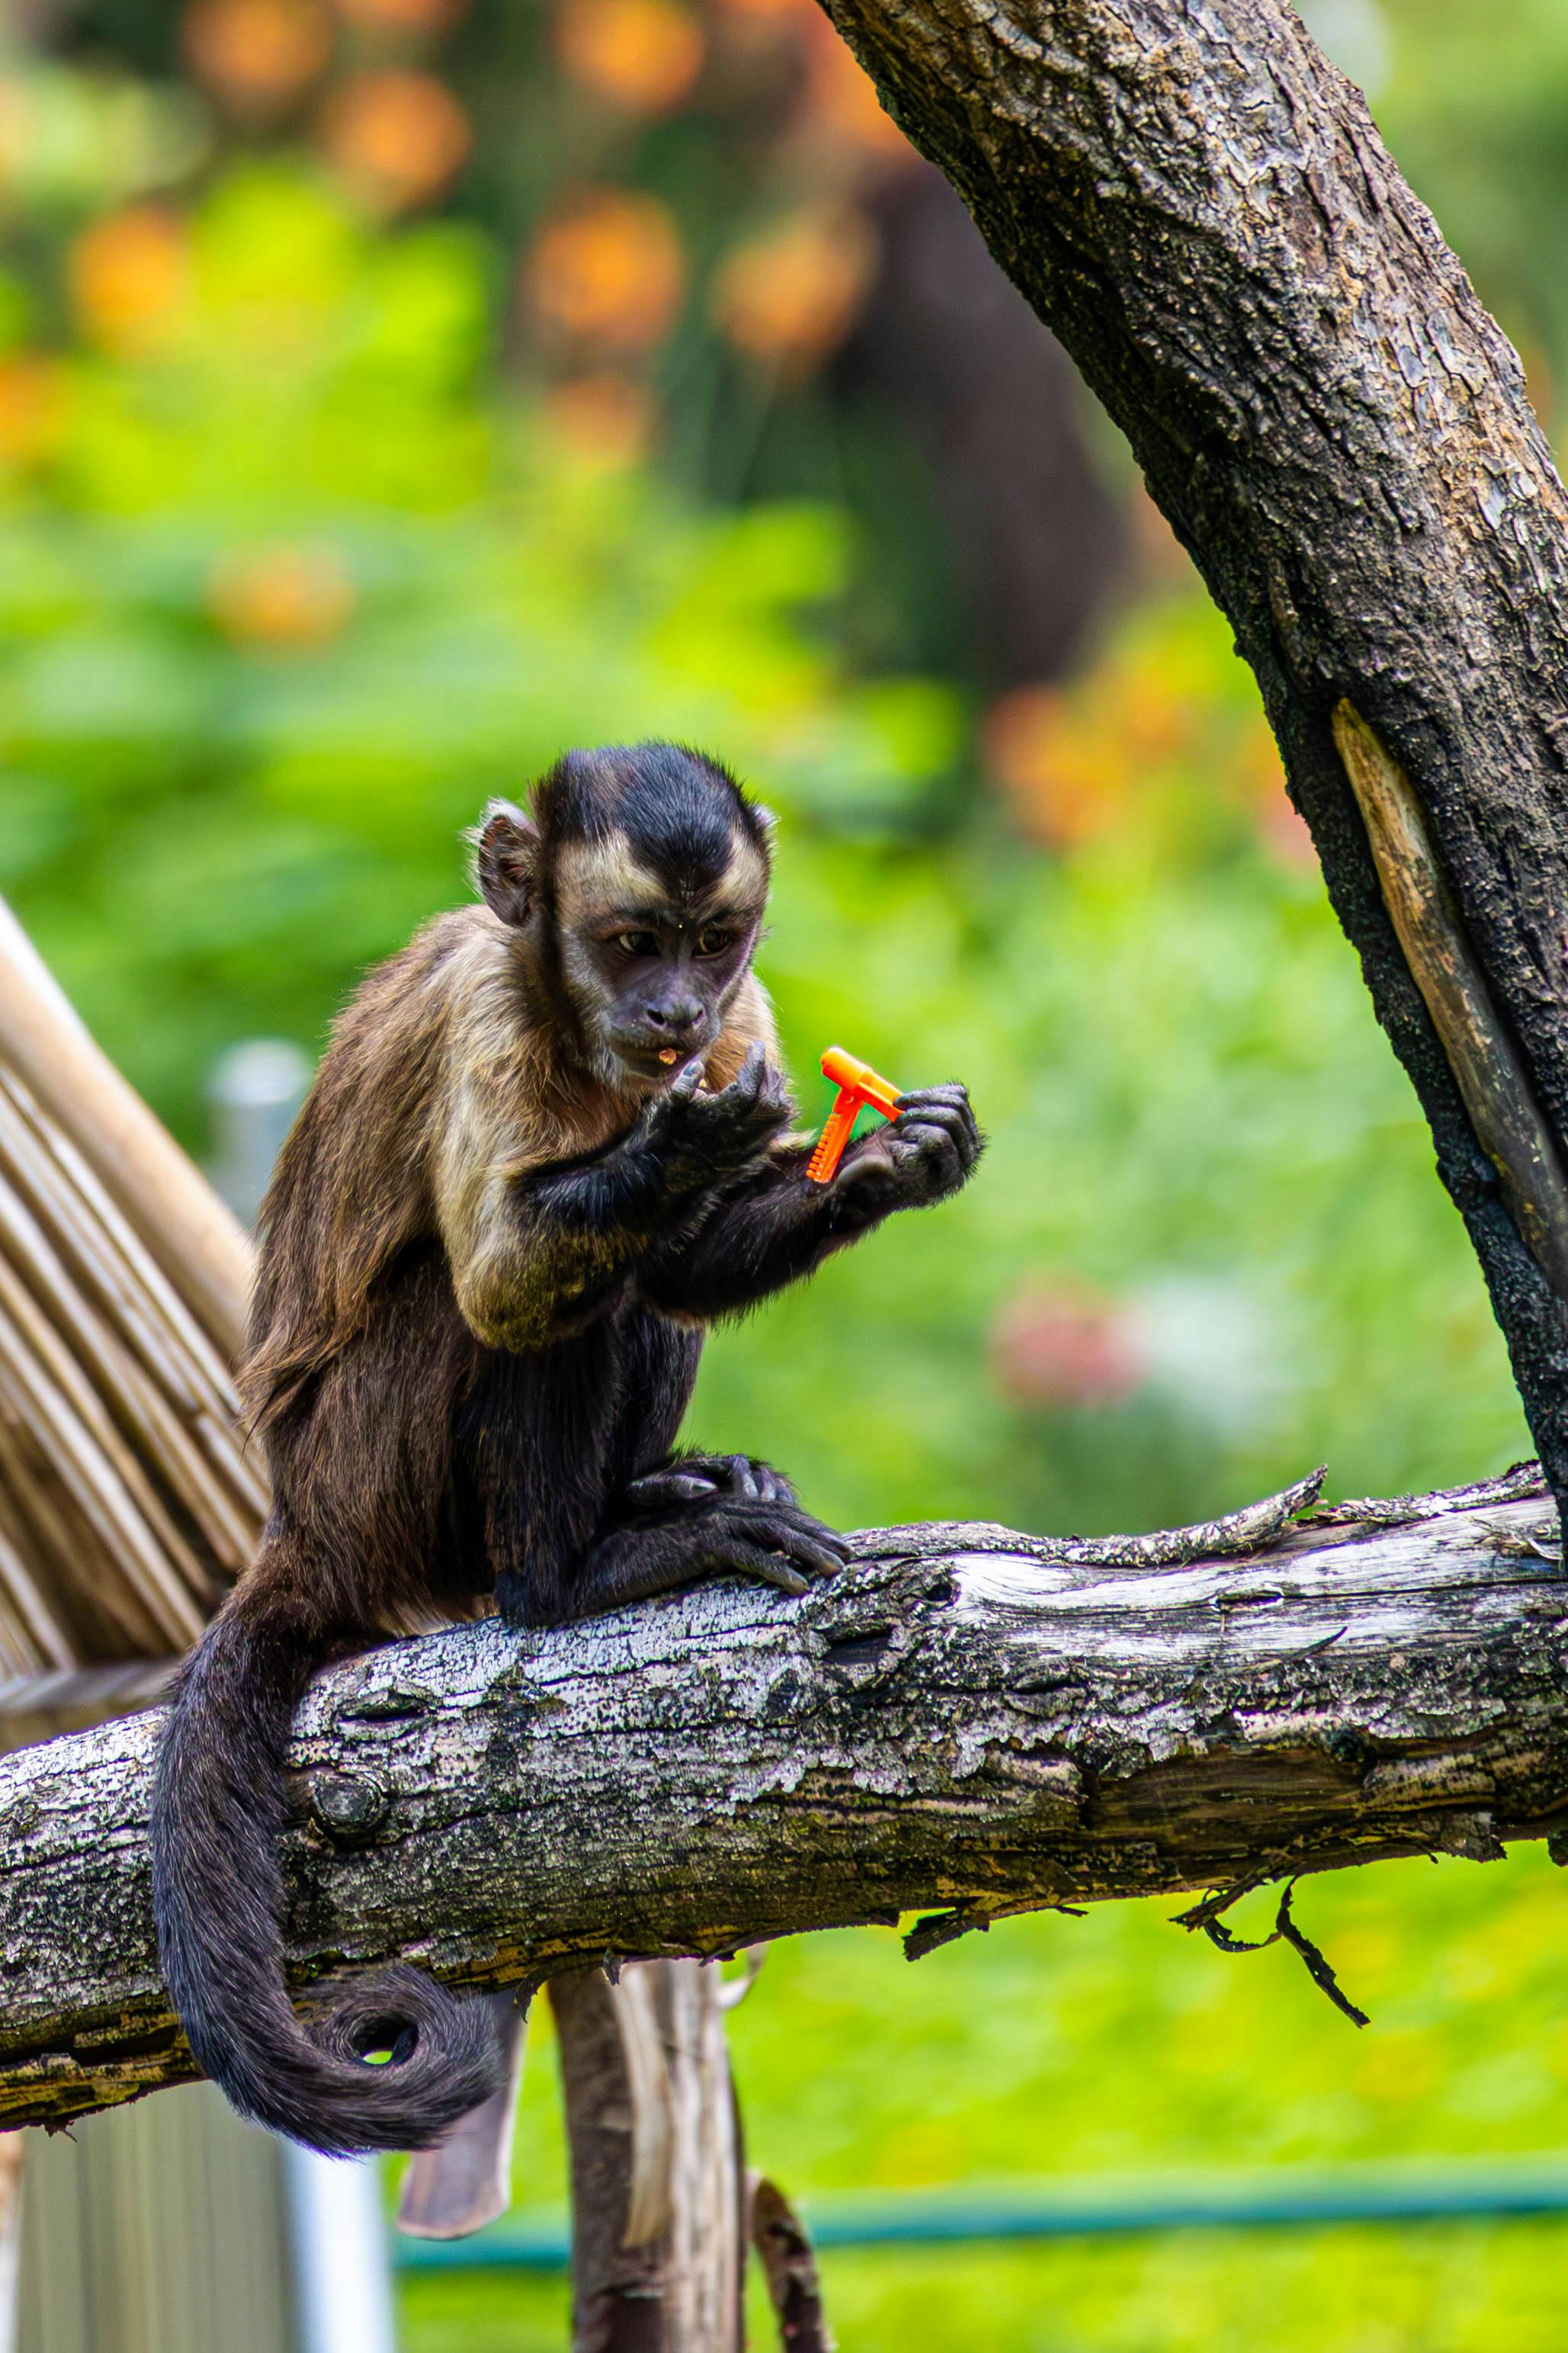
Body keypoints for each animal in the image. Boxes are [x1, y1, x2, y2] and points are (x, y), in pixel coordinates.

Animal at [150, 742, 982, 2157]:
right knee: (517, 1312)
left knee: (641, 1279)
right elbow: (501, 1285)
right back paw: (569, 1574)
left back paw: (652, 1496)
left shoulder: (745, 1020)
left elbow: (691, 1268)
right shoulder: (485, 1007)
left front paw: (889, 1159)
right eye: (630, 941)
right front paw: (678, 1143)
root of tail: (299, 1521)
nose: (673, 1010)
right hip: (378, 1482)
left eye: (712, 942)